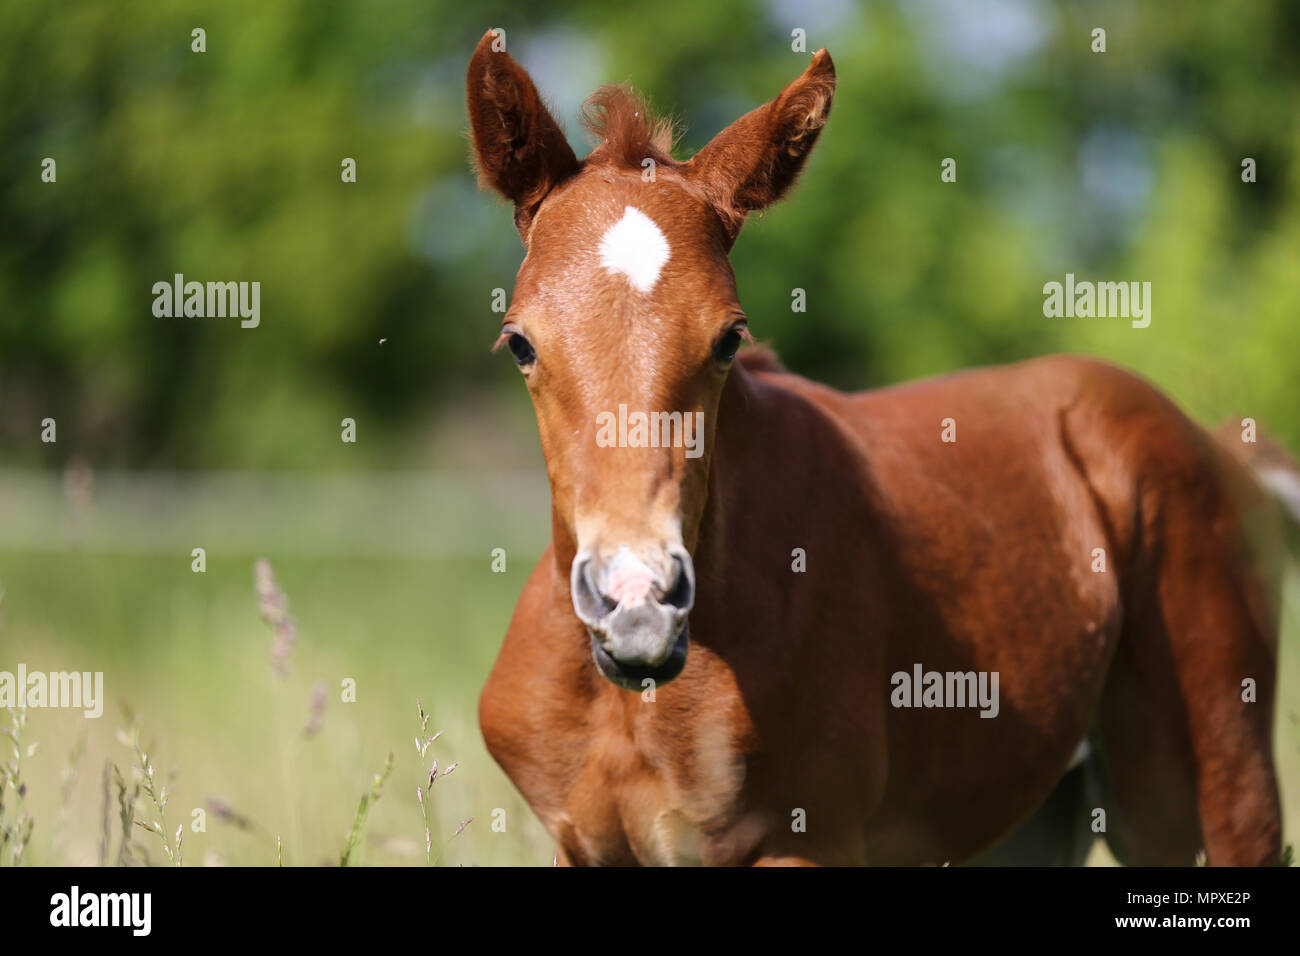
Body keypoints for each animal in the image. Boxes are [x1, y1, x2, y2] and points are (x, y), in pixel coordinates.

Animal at [466, 30, 1295, 866]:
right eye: (519, 344)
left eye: (730, 339)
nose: (638, 606)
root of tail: (1220, 448)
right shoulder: (582, 845)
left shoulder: (812, 835)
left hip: (1217, 779)